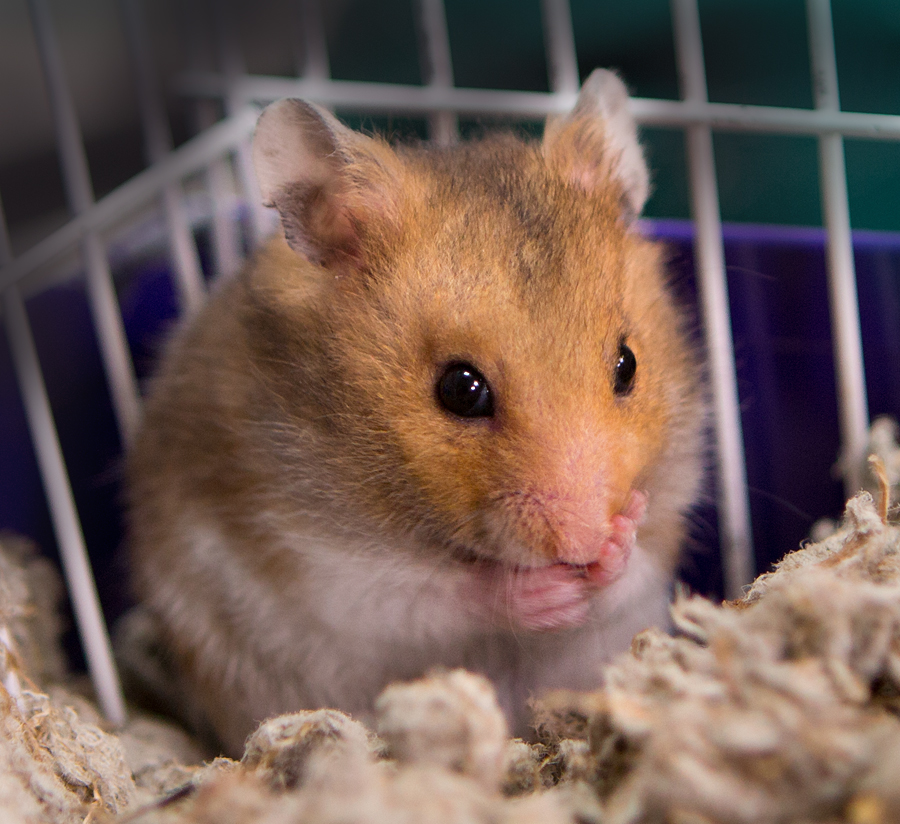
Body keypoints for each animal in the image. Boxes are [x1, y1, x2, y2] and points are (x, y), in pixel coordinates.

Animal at [126, 69, 706, 756]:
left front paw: (617, 541)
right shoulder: (323, 563)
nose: (582, 542)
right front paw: (549, 590)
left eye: (627, 365)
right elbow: (437, 596)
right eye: (460, 389)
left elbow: (638, 559)